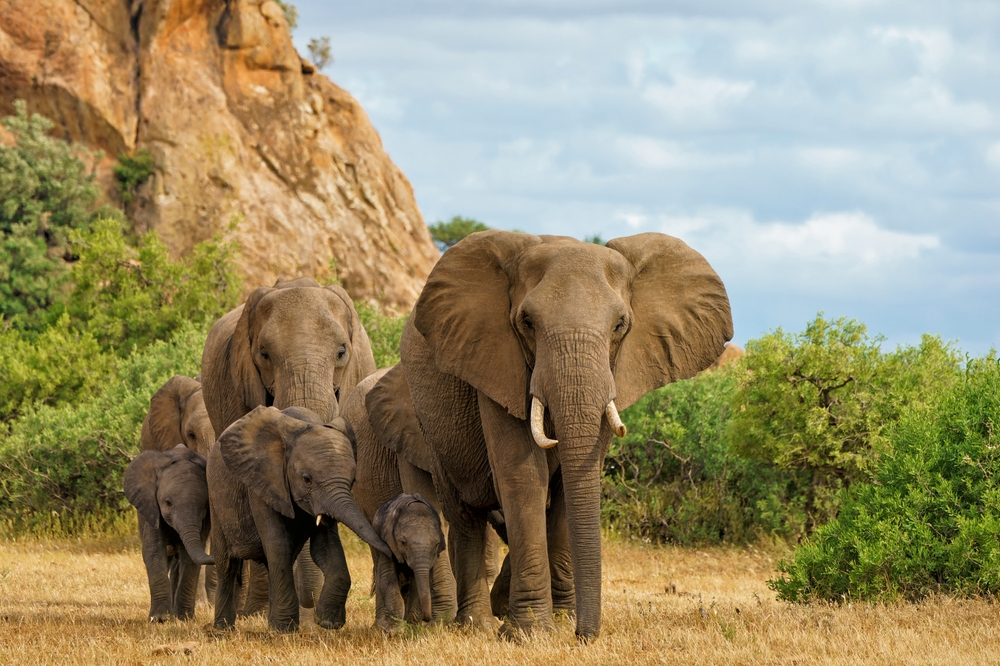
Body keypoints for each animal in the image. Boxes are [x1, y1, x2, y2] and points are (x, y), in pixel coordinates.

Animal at [124, 444, 214, 623]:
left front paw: (184, 618)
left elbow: (190, 558)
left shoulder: (205, 520)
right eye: (168, 502)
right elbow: (154, 552)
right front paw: (159, 619)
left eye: (205, 505)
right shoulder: (151, 507)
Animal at [207, 405, 392, 632]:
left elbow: (326, 546)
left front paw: (327, 622)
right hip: (215, 500)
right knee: (227, 565)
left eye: (353, 480)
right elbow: (278, 544)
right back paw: (223, 630)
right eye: (306, 479)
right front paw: (285, 629)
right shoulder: (264, 483)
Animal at [370, 493, 447, 632]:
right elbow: (387, 576)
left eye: (437, 544)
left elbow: (418, 584)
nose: (427, 619)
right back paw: (380, 628)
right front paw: (395, 631)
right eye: (403, 542)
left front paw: (412, 629)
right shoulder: (386, 541)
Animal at [381, 230, 732, 639]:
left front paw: (562, 620)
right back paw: (476, 624)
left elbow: (570, 482)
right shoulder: (497, 362)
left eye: (620, 325)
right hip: (431, 427)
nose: (585, 637)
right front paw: (528, 633)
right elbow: (523, 476)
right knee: (465, 514)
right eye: (527, 322)